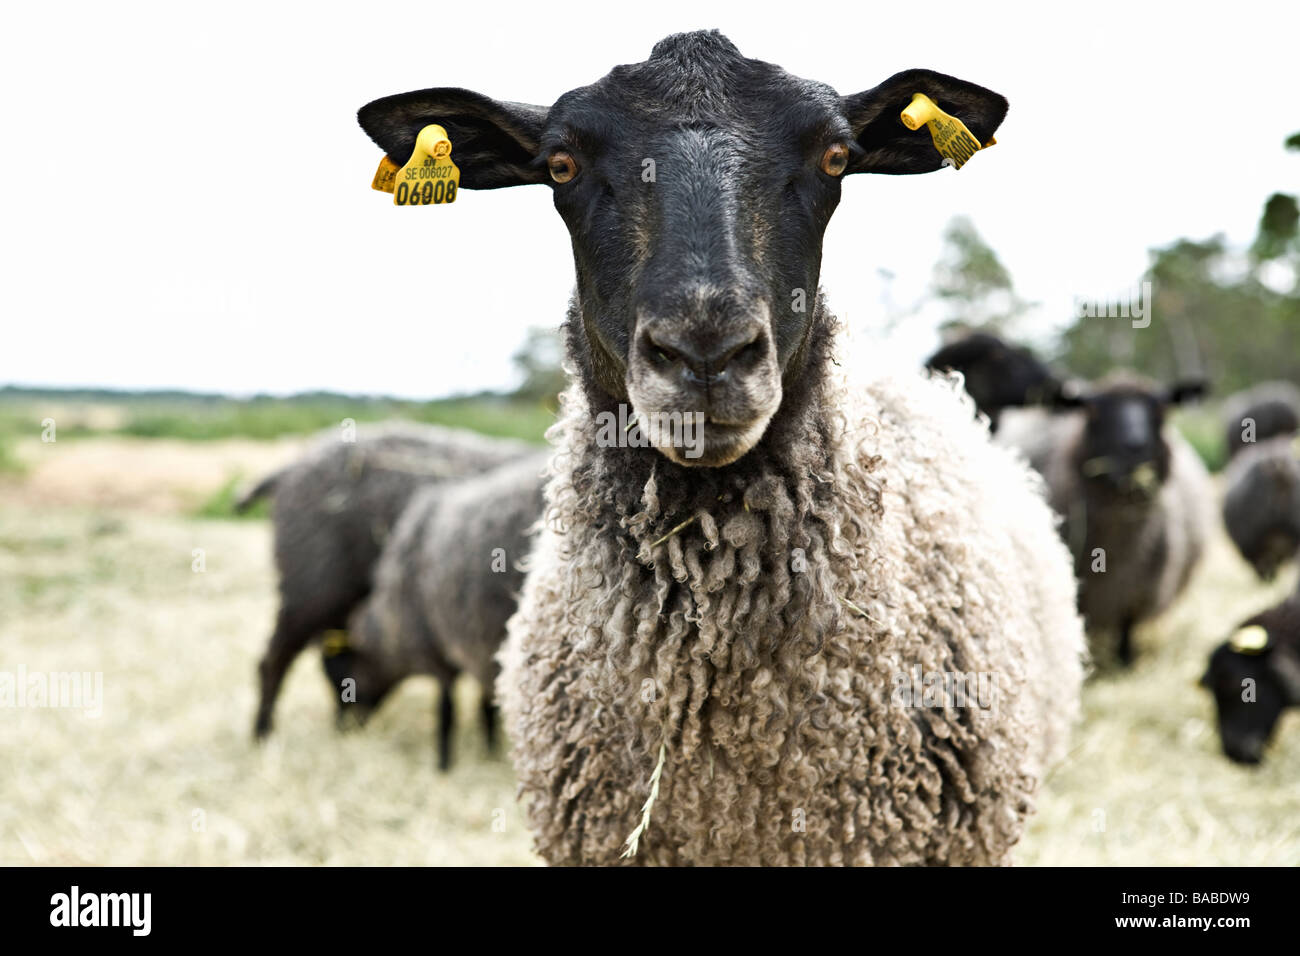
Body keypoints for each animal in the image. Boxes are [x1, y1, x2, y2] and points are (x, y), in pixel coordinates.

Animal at [241, 422, 534, 739]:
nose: (353, 722)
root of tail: (290, 469)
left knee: (327, 658)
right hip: (312, 588)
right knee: (277, 660)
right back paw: (265, 731)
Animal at [321, 452, 548, 769]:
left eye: (340, 679)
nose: (343, 728)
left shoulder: (436, 650)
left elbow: (446, 712)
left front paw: (443, 764)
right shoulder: (482, 647)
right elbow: (486, 705)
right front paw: (489, 752)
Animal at [997, 374, 1213, 665]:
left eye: (1160, 410)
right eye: (1093, 411)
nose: (1136, 448)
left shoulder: (1138, 590)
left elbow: (1127, 627)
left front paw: (1126, 658)